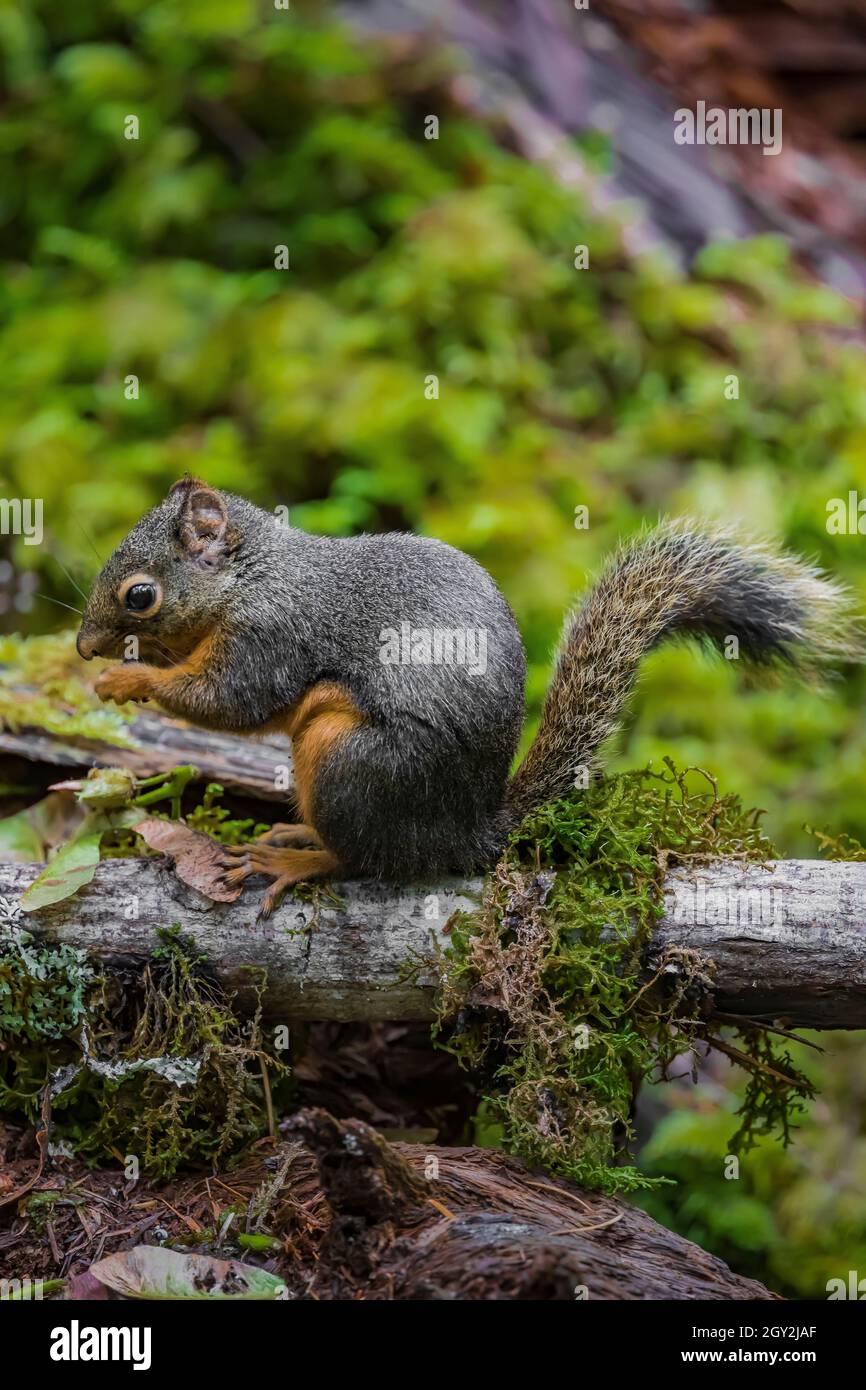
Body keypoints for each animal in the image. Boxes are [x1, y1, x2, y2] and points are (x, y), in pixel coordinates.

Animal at [76, 477, 861, 915]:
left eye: (140, 596)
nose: (85, 645)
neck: (255, 574)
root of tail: (468, 831)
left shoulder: (270, 634)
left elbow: (230, 702)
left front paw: (124, 680)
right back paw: (298, 835)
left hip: (350, 758)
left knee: (371, 859)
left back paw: (301, 860)